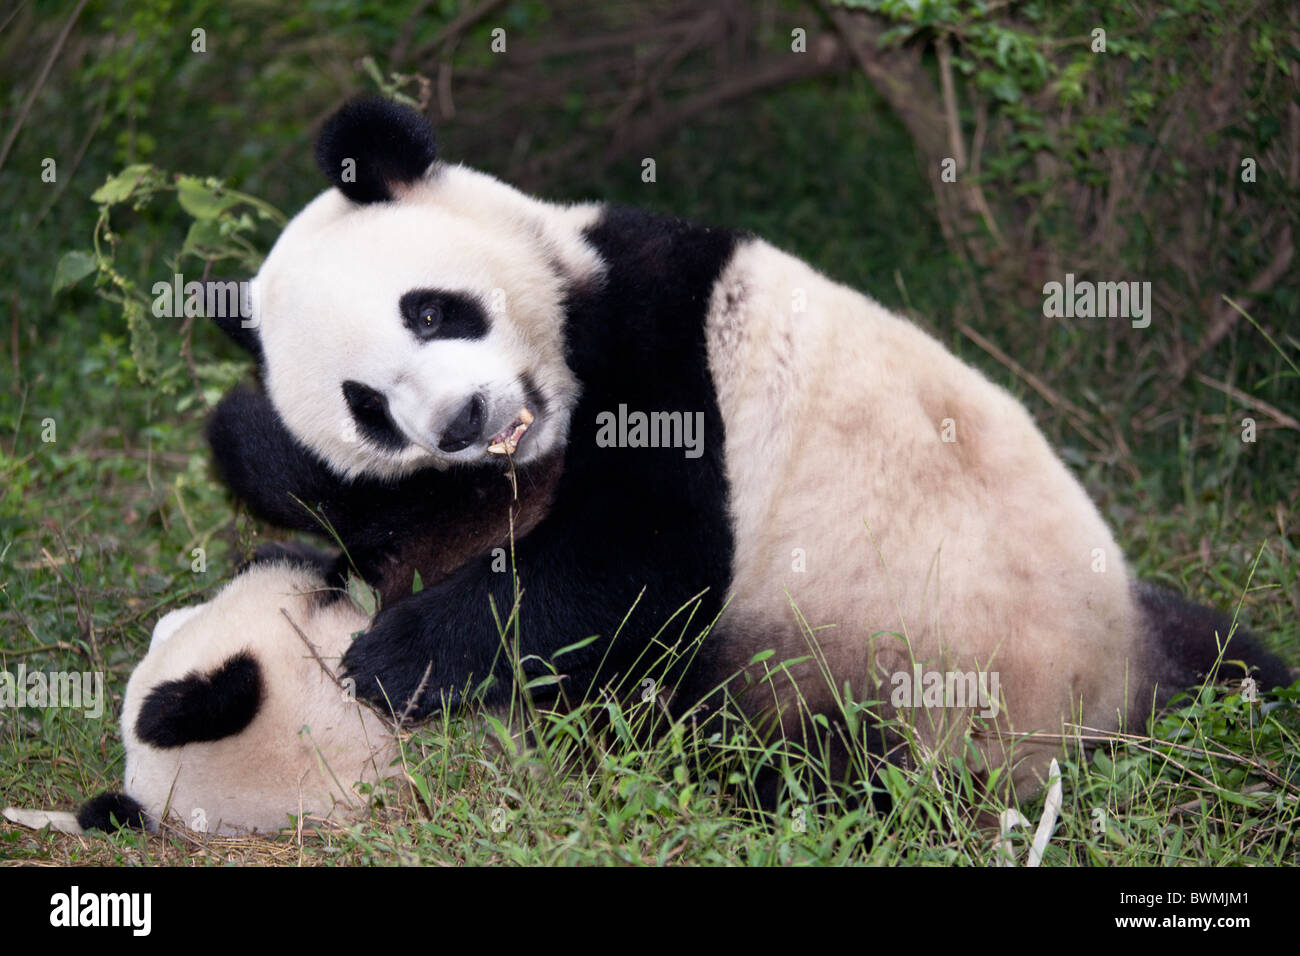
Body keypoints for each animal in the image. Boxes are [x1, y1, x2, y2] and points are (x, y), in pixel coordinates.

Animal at [206, 96, 1290, 804]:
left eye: (431, 310)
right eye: (370, 405)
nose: (463, 420)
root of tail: (1101, 700)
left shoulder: (658, 322)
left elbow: (641, 557)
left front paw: (396, 656)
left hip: (914, 671)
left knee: (781, 750)